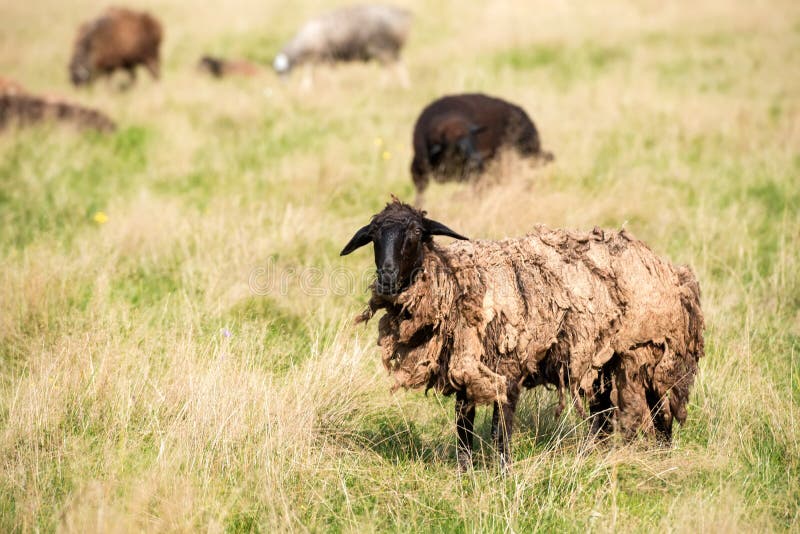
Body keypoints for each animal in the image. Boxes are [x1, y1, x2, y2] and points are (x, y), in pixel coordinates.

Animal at [272, 4, 412, 89]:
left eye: (281, 71)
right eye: (277, 73)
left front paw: (307, 86)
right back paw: (402, 84)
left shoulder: (325, 55)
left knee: (389, 66)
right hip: (391, 49)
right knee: (395, 64)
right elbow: (312, 70)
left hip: (383, 48)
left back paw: (387, 85)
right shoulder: (319, 56)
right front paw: (308, 86)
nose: (283, 86)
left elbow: (317, 71)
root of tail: (404, 14)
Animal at [341, 199, 704, 470]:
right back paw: (595, 456)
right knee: (602, 411)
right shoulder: (467, 371)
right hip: (599, 360)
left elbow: (500, 431)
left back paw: (662, 459)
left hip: (650, 352)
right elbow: (463, 427)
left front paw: (503, 474)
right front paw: (464, 473)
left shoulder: (509, 370)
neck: (457, 284)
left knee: (660, 411)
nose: (387, 278)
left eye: (416, 231)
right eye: (373, 235)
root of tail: (673, 273)